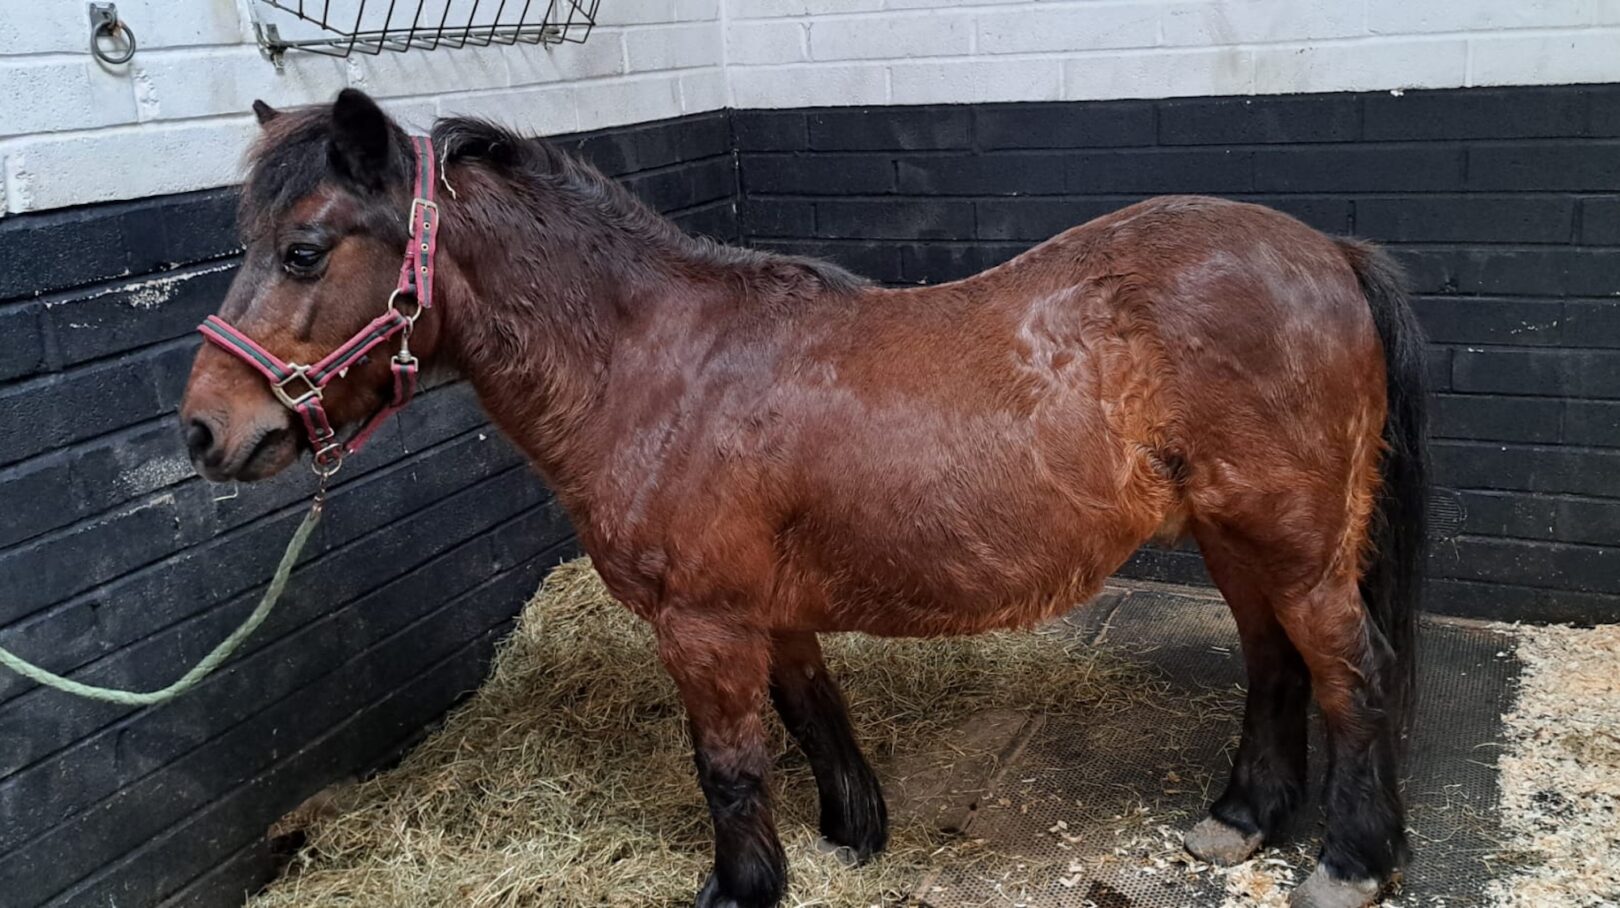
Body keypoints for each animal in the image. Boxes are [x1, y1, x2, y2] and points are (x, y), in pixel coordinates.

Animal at [179, 89, 1427, 908]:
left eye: (302, 250)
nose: (204, 431)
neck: (656, 364)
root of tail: (1327, 249)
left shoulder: (700, 624)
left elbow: (730, 765)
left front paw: (740, 888)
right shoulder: (763, 612)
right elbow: (813, 712)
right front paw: (850, 835)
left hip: (1293, 540)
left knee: (1349, 668)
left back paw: (1350, 860)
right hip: (1234, 535)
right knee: (1274, 662)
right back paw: (1240, 818)